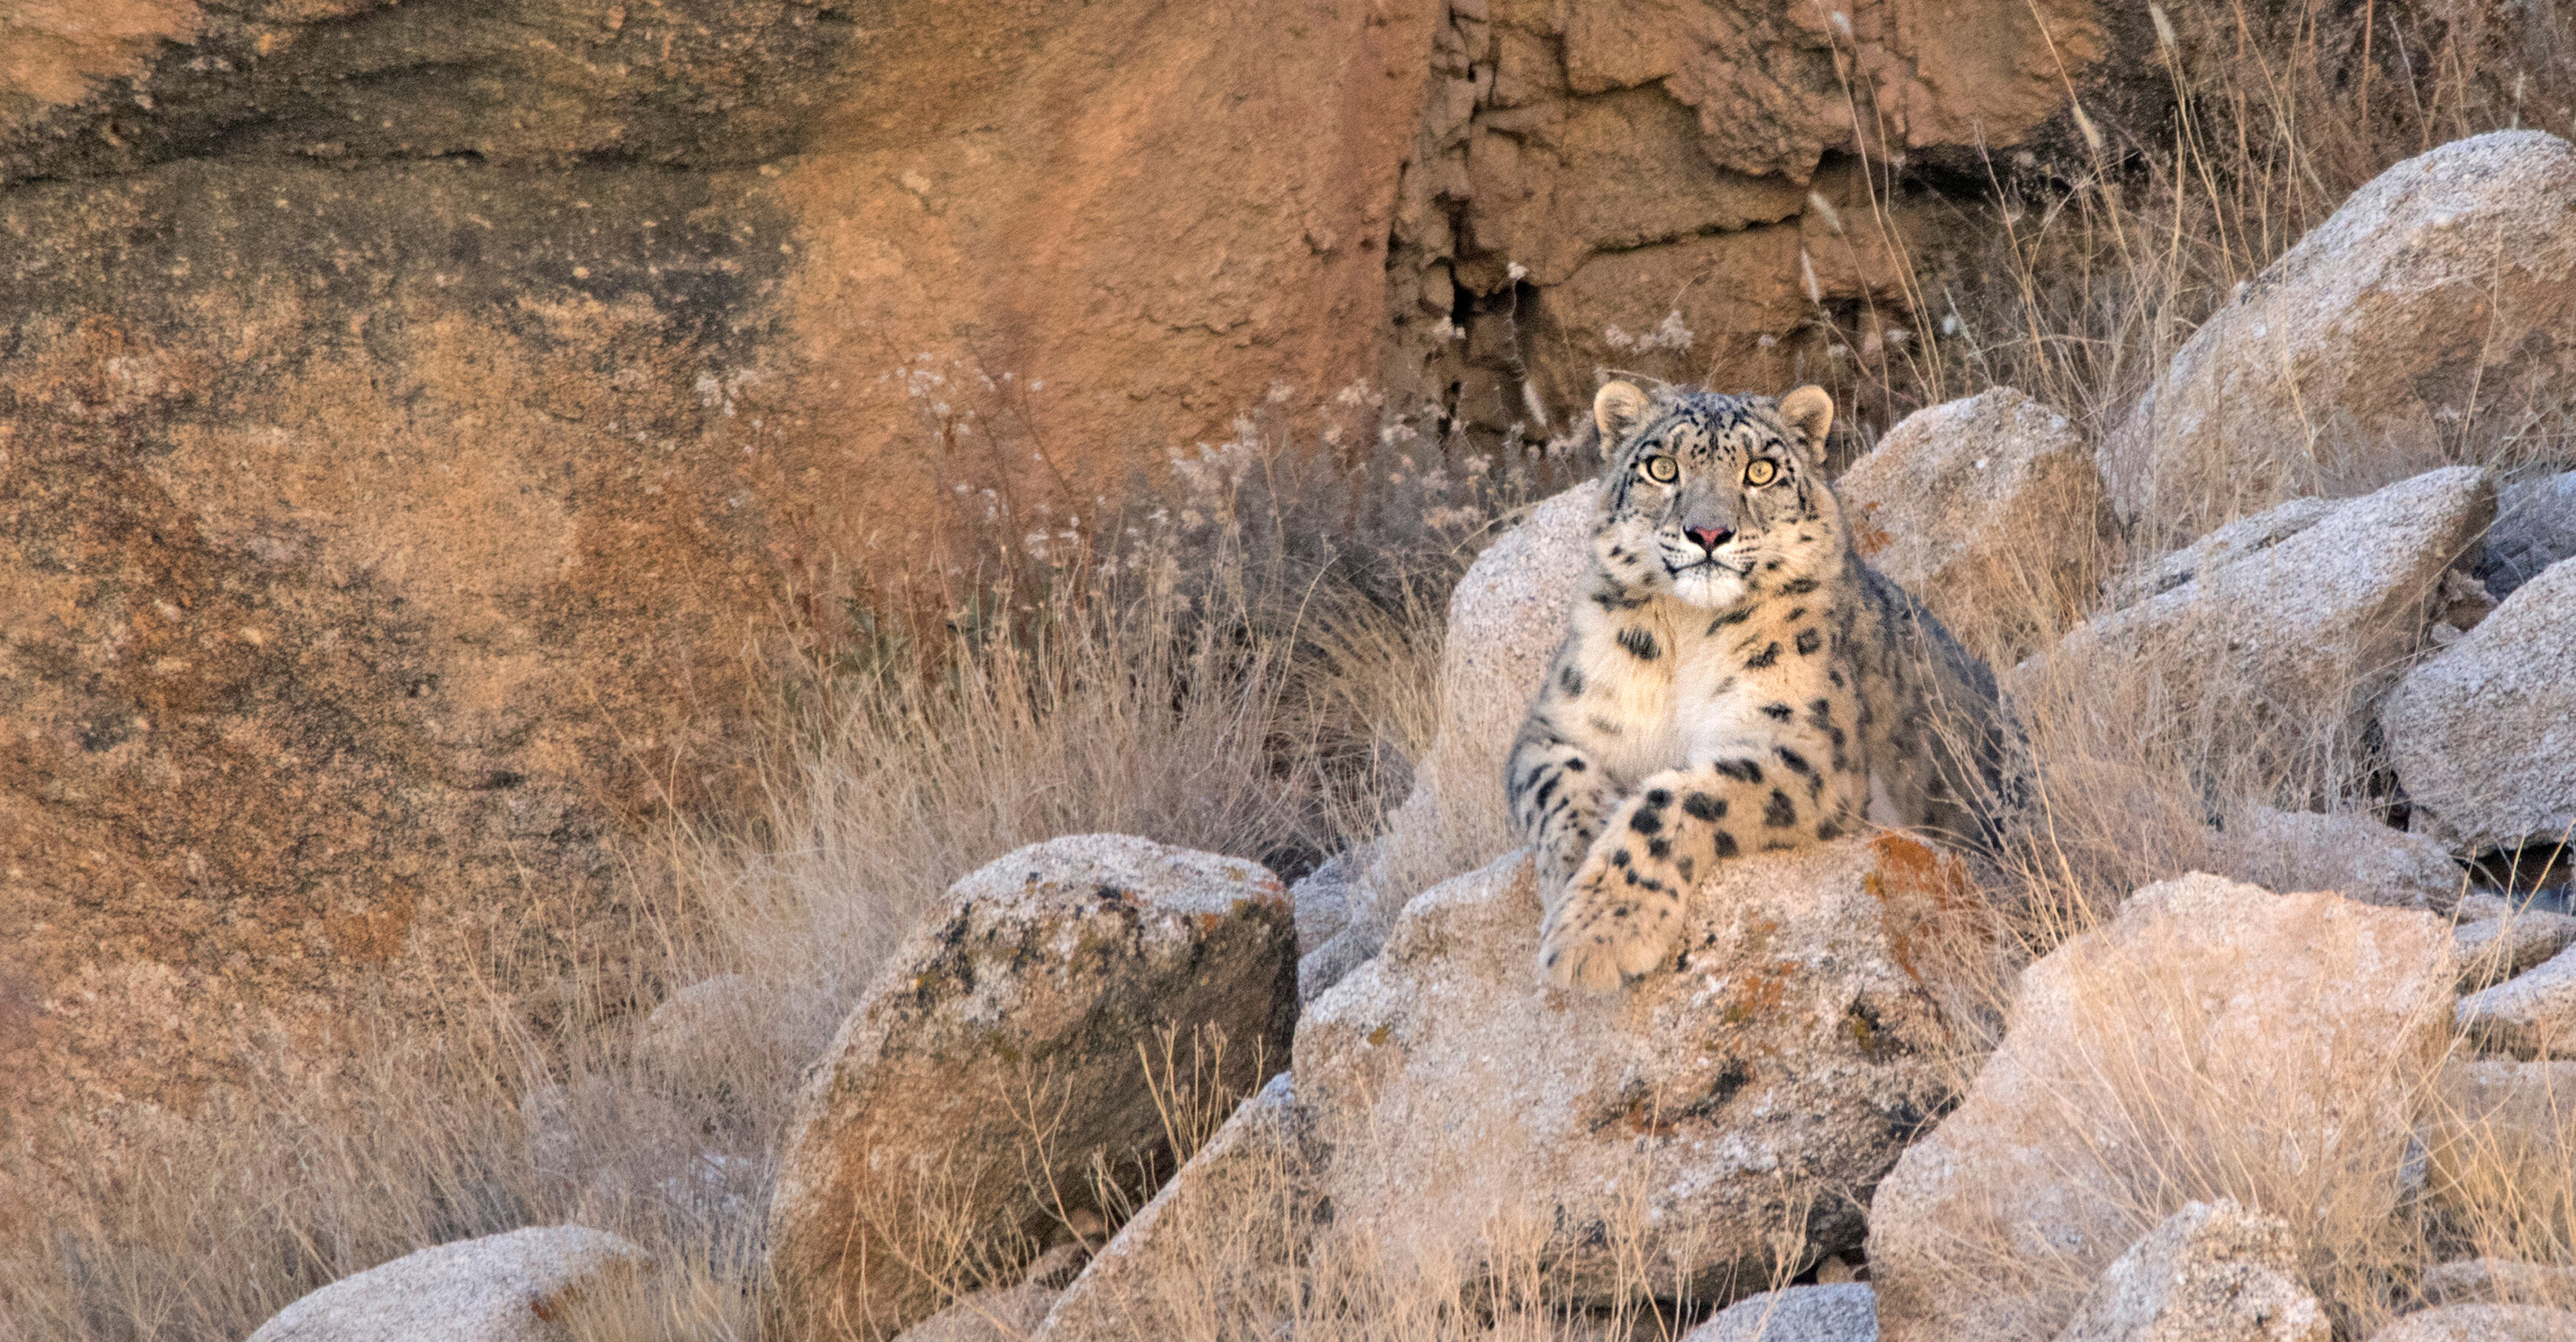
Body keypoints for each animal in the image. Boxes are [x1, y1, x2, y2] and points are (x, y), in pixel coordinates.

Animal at [1504, 379, 2007, 993]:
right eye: (1662, 467)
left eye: (1761, 471)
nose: (1709, 533)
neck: (1687, 638)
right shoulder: (1557, 724)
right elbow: (1555, 784)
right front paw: (1573, 865)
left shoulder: (1808, 749)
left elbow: (1670, 799)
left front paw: (1598, 934)